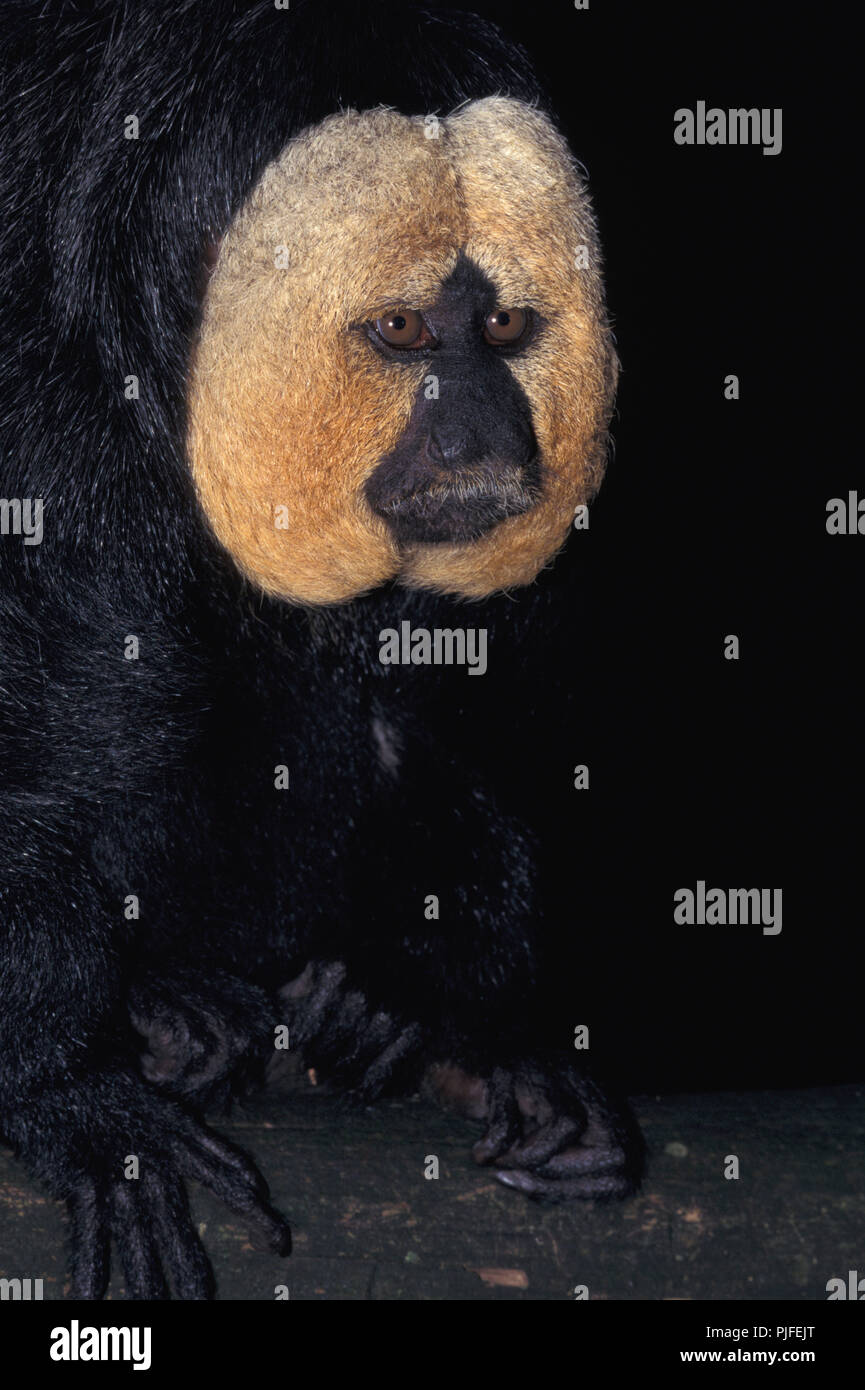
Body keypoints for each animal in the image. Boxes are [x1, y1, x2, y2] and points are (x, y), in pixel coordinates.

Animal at [0, 0, 642, 1300]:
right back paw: (171, 1007)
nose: (486, 438)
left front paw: (441, 1001)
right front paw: (64, 1087)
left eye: (505, 326)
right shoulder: (38, 413)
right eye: (402, 331)